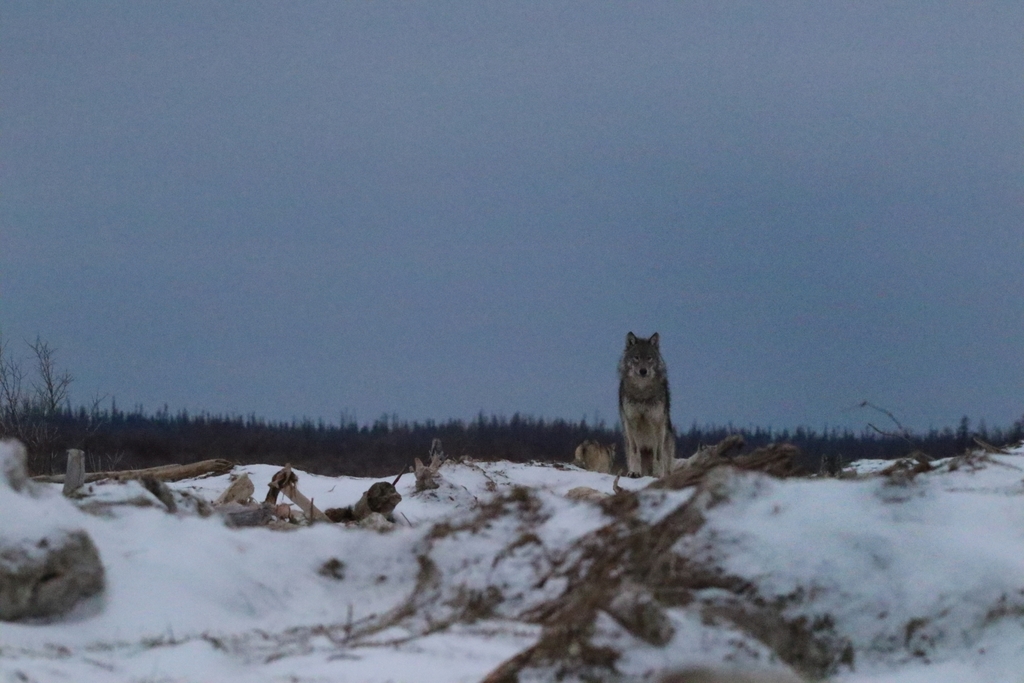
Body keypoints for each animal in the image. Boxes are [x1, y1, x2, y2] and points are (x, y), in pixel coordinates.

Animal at [618, 332, 676, 477]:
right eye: (636, 358)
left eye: (649, 358)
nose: (643, 371)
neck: (642, 392)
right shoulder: (631, 422)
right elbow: (634, 452)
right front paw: (634, 472)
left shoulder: (657, 423)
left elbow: (658, 455)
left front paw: (658, 474)